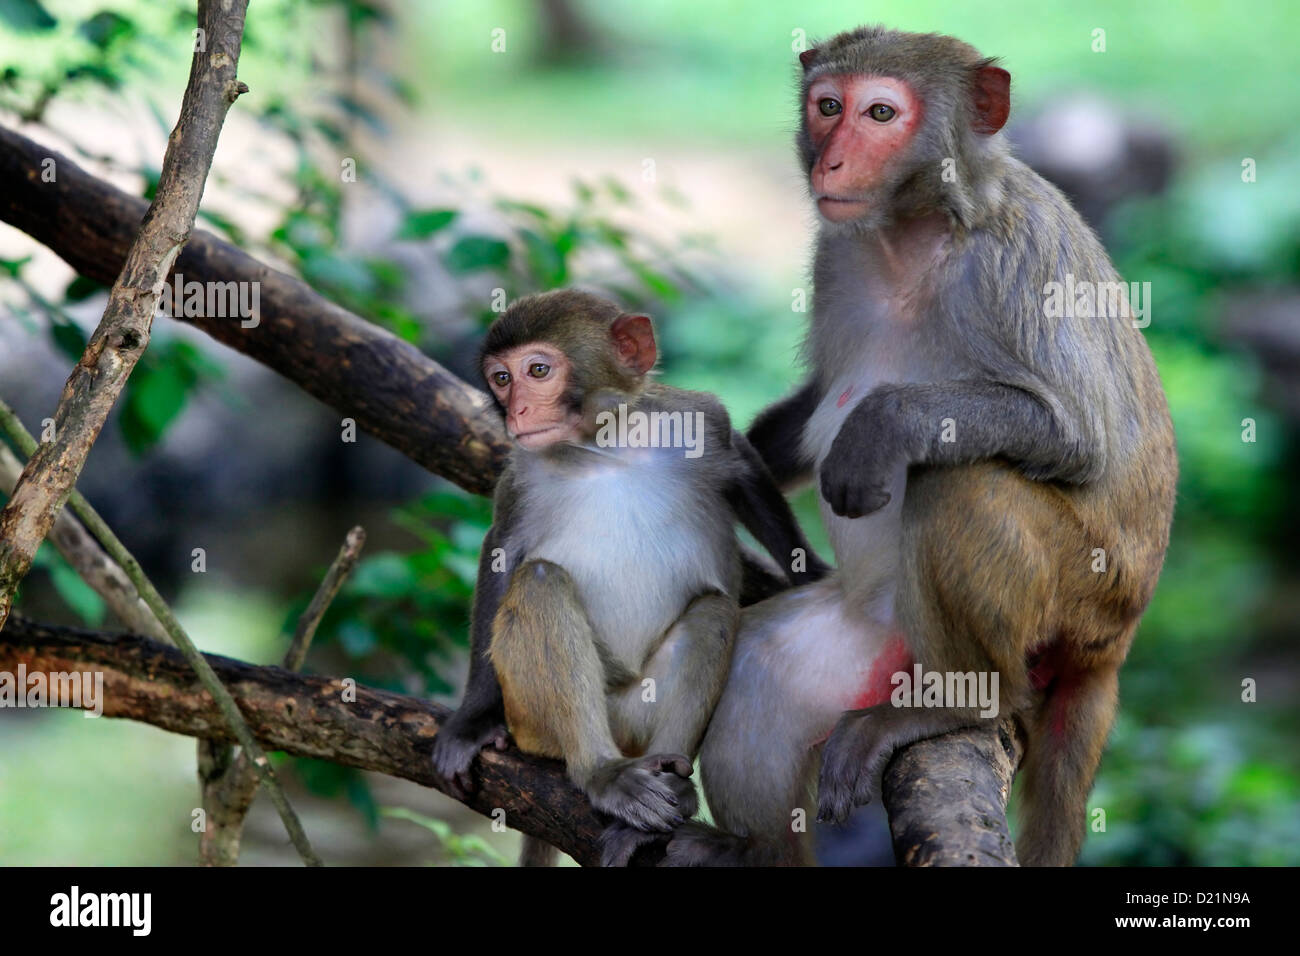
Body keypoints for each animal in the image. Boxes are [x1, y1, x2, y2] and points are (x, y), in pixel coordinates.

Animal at [429, 289, 829, 866]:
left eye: (537, 370)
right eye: (501, 379)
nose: (519, 410)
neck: (607, 447)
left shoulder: (697, 419)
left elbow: (745, 470)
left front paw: (812, 571)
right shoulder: (521, 476)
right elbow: (503, 552)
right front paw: (475, 720)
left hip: (639, 711)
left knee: (712, 610)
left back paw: (671, 783)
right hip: (536, 717)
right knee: (542, 581)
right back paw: (604, 775)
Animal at [665, 26, 1177, 867]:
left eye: (880, 113)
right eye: (828, 106)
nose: (832, 162)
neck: (914, 233)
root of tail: (1118, 640)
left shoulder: (1018, 261)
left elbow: (1078, 436)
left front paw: (882, 423)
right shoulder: (835, 255)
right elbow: (817, 398)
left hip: (1081, 596)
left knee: (962, 480)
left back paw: (968, 707)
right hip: (869, 646)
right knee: (756, 682)